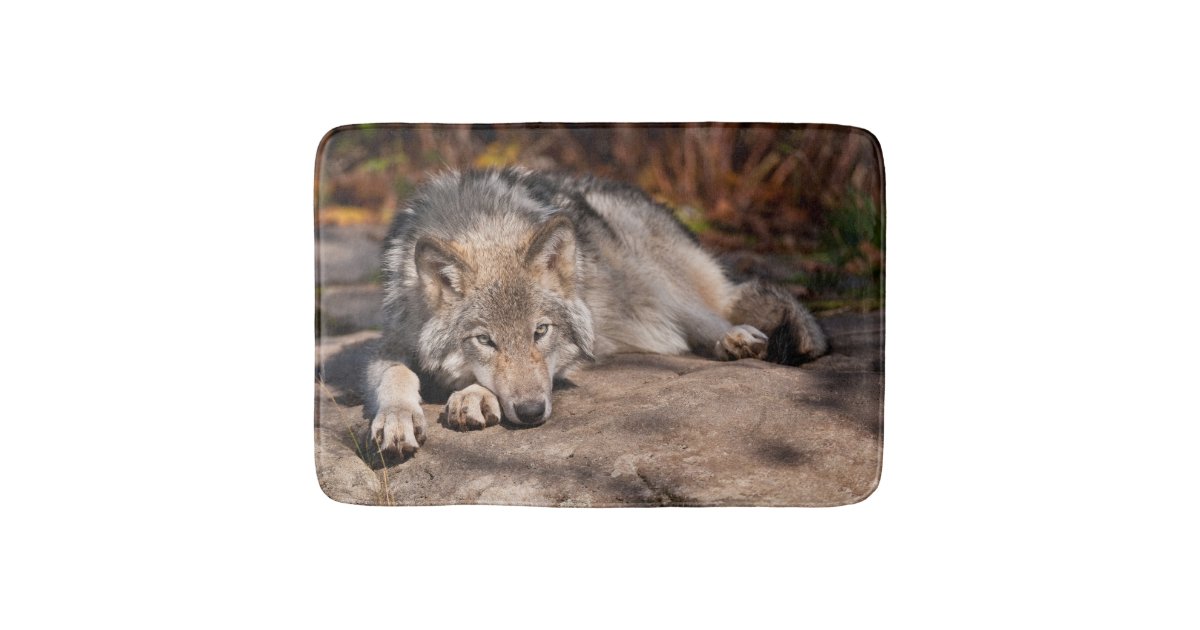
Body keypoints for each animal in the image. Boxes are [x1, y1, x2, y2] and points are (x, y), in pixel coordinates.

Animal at [365, 168, 828, 456]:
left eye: (541, 332)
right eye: (485, 340)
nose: (532, 414)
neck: (482, 224)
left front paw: (472, 396)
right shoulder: (389, 341)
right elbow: (396, 374)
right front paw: (397, 418)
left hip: (649, 277)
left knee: (709, 311)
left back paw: (734, 337)